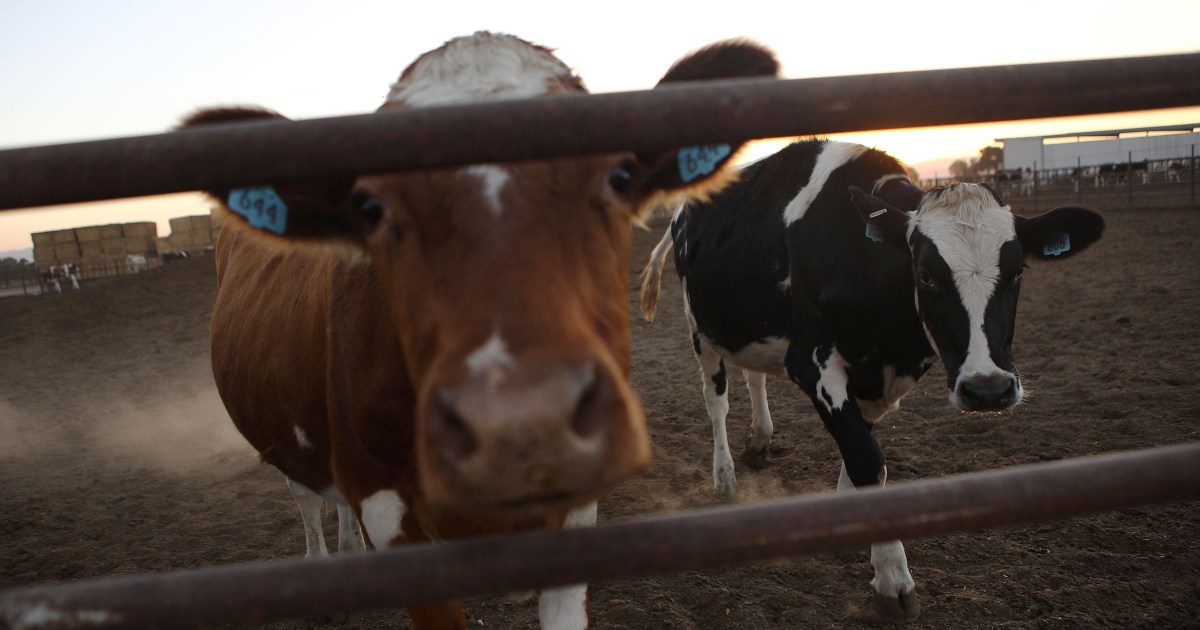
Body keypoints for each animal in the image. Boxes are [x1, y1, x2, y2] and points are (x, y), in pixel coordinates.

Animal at [639, 139, 1104, 622]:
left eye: (1016, 273)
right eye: (926, 275)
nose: (988, 388)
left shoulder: (884, 374)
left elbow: (862, 444)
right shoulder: (812, 362)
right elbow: (867, 458)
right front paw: (893, 579)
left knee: (754, 378)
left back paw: (760, 440)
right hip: (700, 328)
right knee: (716, 401)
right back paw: (725, 477)